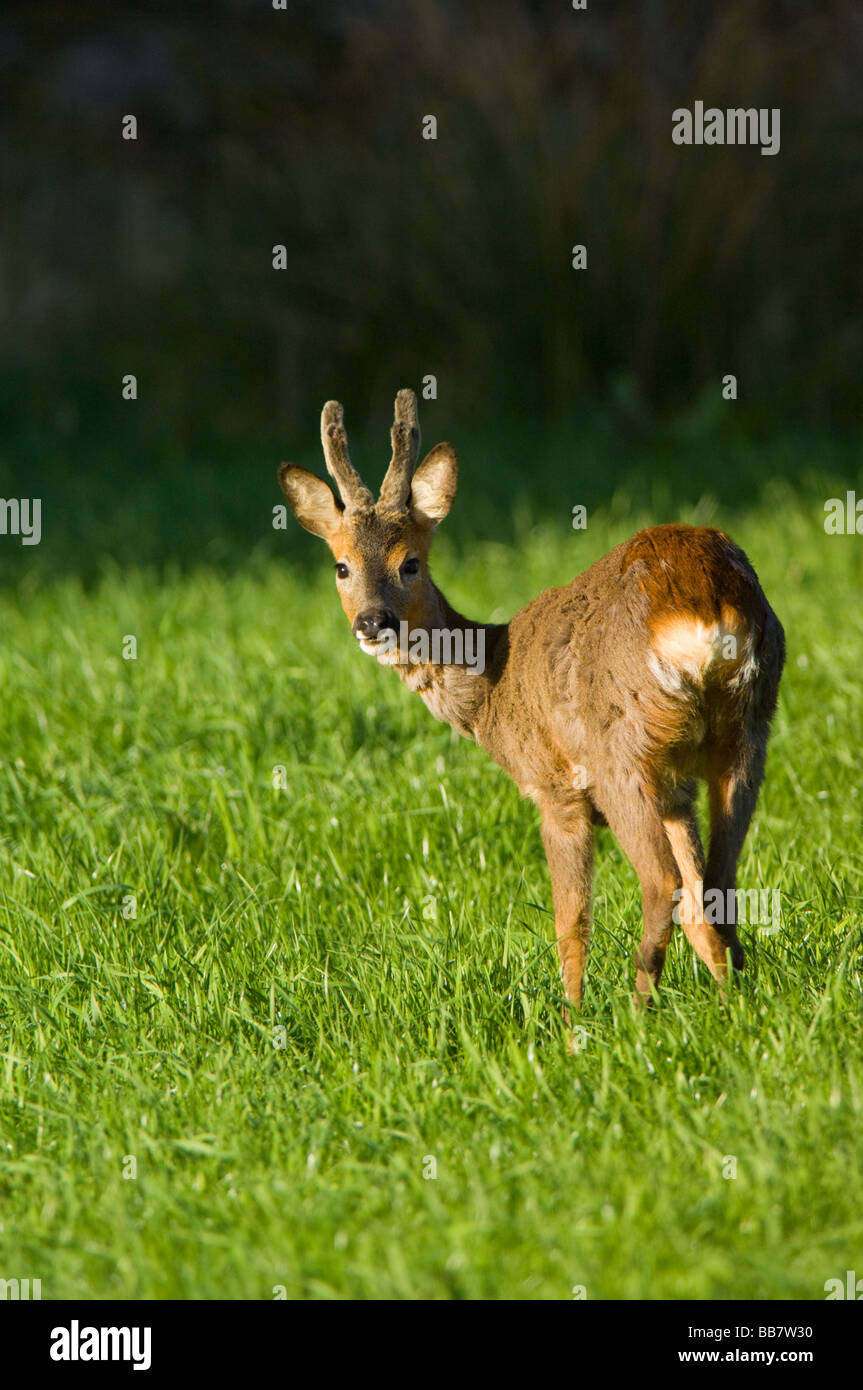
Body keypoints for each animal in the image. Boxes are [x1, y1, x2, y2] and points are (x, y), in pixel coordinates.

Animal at [278, 390, 785, 1014]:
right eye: (341, 565)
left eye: (409, 563)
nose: (373, 622)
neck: (491, 690)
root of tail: (702, 597)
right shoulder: (677, 791)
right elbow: (699, 901)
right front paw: (722, 998)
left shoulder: (555, 790)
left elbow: (571, 924)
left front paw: (572, 1019)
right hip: (747, 728)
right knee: (716, 882)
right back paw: (731, 997)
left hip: (621, 749)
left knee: (660, 883)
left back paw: (637, 1007)